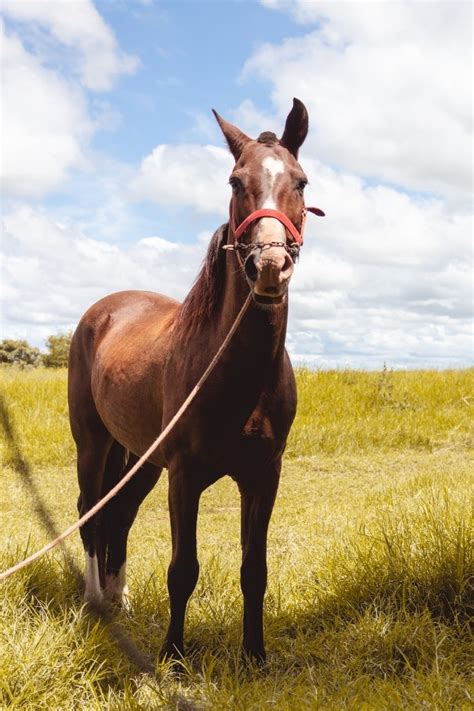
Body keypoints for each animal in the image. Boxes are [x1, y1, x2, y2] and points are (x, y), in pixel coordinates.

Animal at [68, 98, 324, 664]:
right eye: (235, 180)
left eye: (300, 181)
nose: (269, 265)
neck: (236, 377)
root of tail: (105, 309)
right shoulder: (184, 476)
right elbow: (182, 570)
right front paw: (173, 657)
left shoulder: (263, 476)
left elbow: (255, 570)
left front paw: (254, 654)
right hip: (93, 444)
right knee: (91, 514)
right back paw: (97, 603)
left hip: (140, 459)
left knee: (119, 515)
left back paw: (119, 600)